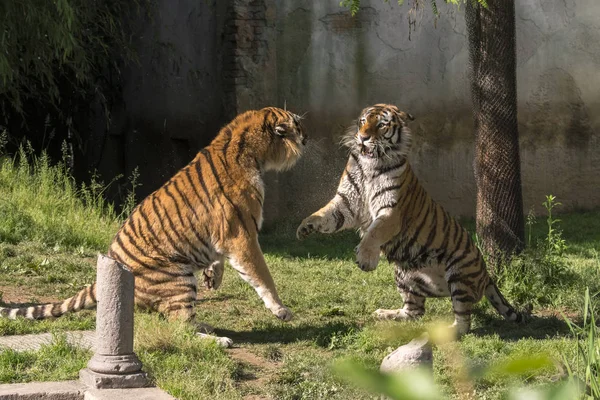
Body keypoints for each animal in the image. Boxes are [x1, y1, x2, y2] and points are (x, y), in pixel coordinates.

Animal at [0, 106, 308, 346]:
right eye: (297, 123)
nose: (307, 137)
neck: (249, 148)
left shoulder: (224, 237)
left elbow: (221, 259)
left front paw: (214, 276)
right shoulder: (242, 234)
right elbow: (261, 274)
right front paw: (281, 310)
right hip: (179, 278)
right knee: (179, 328)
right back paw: (218, 340)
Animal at [298, 102, 524, 334]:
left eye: (381, 125)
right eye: (363, 122)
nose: (363, 137)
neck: (371, 164)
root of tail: (486, 273)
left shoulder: (391, 211)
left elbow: (374, 232)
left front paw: (366, 259)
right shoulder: (347, 202)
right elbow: (326, 214)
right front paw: (305, 226)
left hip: (459, 274)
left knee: (463, 320)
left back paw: (449, 331)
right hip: (404, 275)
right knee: (415, 311)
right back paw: (385, 314)